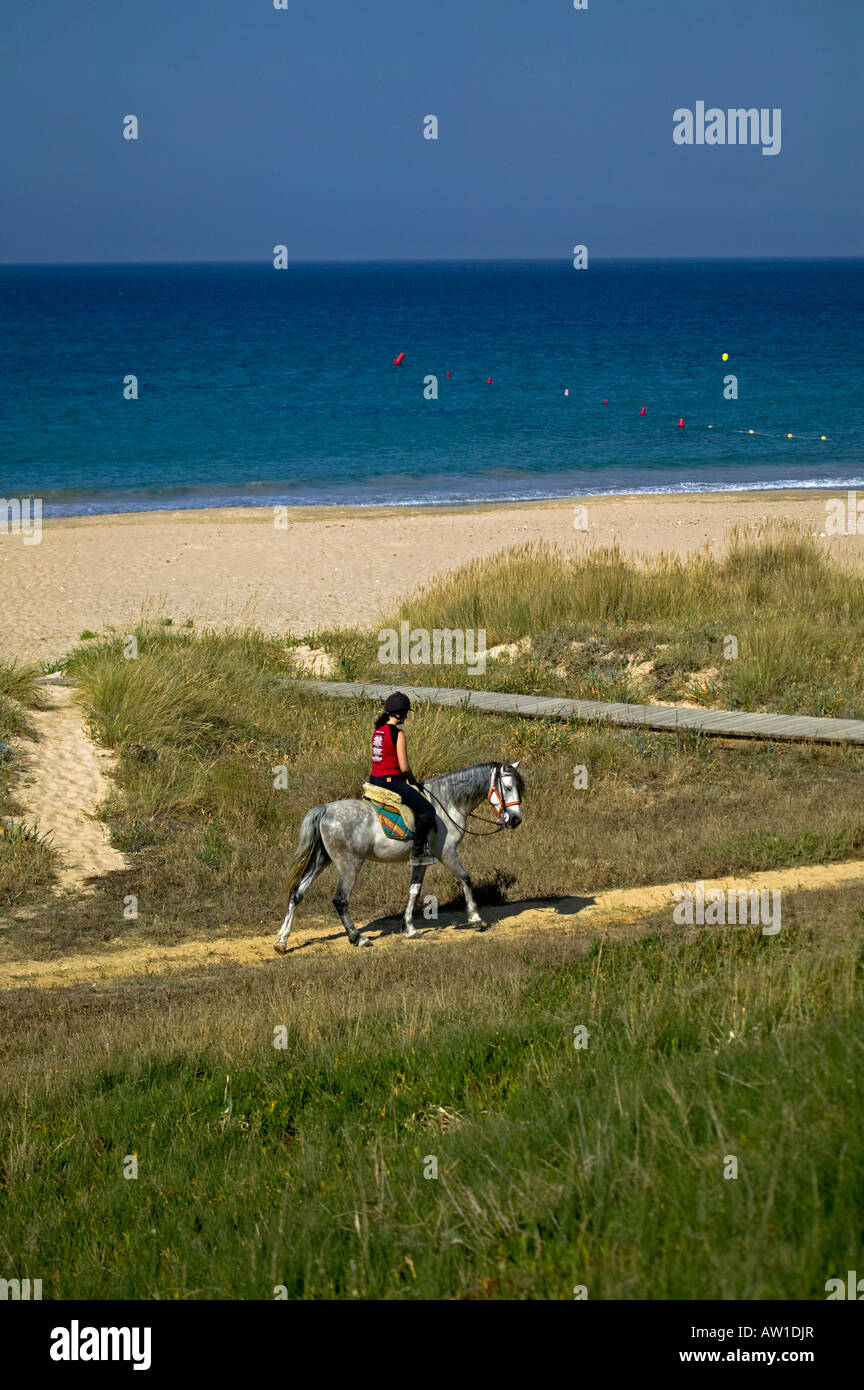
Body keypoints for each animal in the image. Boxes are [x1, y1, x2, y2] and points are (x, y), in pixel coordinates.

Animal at [274, 761, 524, 951]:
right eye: (507, 787)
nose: (515, 819)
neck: (447, 803)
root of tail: (325, 809)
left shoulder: (422, 860)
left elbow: (414, 891)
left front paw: (409, 928)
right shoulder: (448, 853)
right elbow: (465, 878)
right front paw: (475, 918)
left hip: (322, 859)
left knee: (297, 893)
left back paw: (282, 941)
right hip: (349, 864)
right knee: (340, 900)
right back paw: (358, 938)